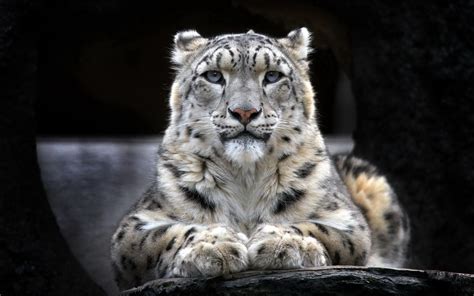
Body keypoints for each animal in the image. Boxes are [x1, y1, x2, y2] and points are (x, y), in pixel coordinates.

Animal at [110, 27, 408, 292]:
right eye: (214, 76)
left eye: (273, 76)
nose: (244, 111)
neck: (245, 178)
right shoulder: (135, 225)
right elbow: (165, 234)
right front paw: (213, 246)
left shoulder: (347, 220)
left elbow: (318, 228)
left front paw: (285, 243)